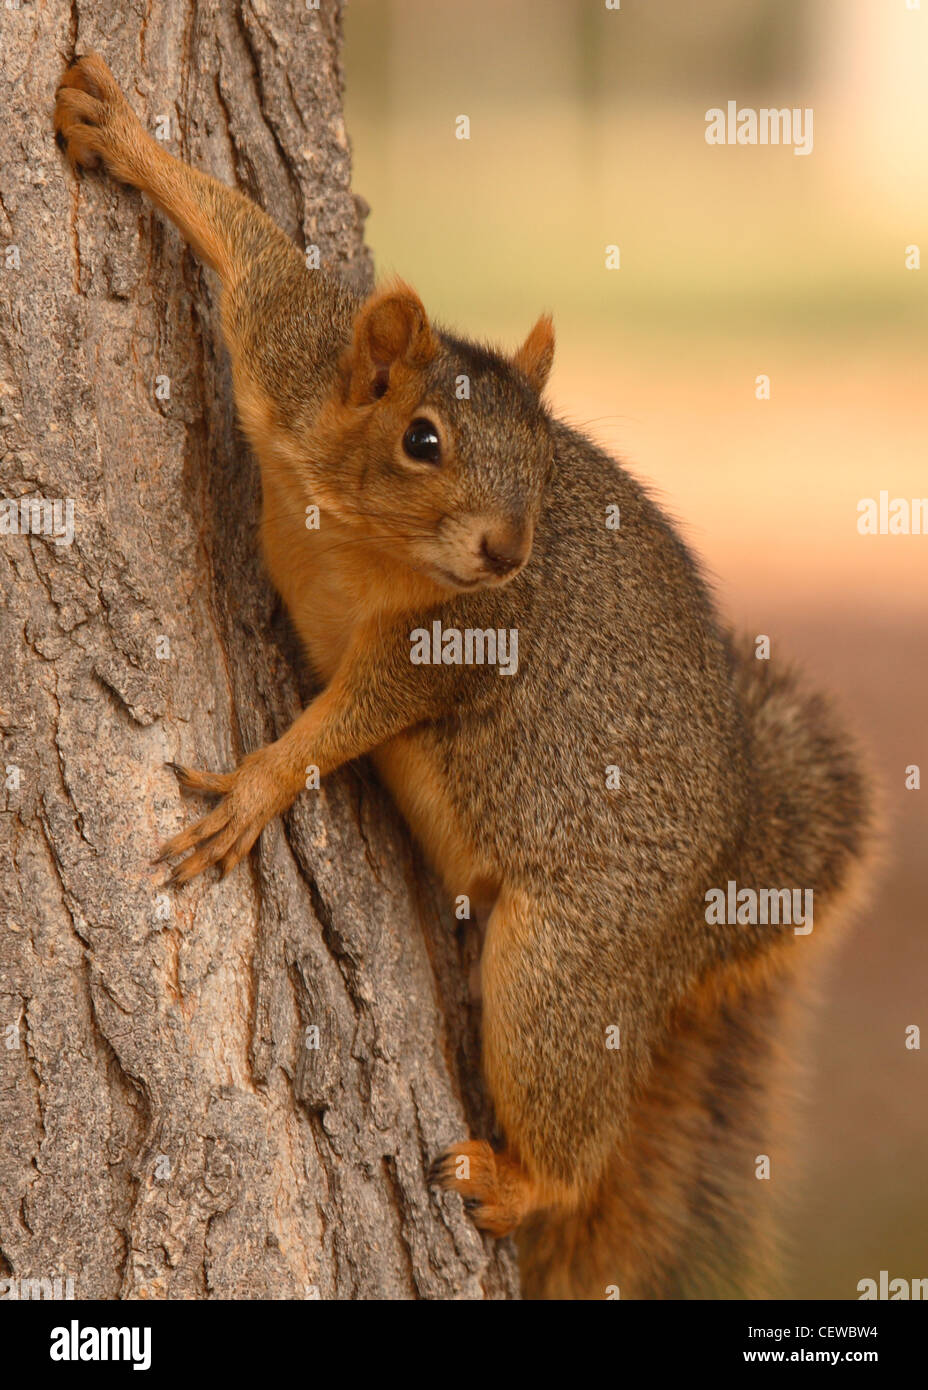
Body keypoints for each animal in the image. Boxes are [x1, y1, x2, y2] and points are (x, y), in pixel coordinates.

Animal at [54, 54, 875, 1300]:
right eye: (422, 440)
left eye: (542, 456)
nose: (508, 549)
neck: (353, 527)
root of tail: (726, 879)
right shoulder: (288, 356)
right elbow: (253, 248)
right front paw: (121, 135)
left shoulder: (463, 637)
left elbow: (359, 710)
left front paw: (260, 785)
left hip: (569, 953)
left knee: (572, 1117)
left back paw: (519, 1180)